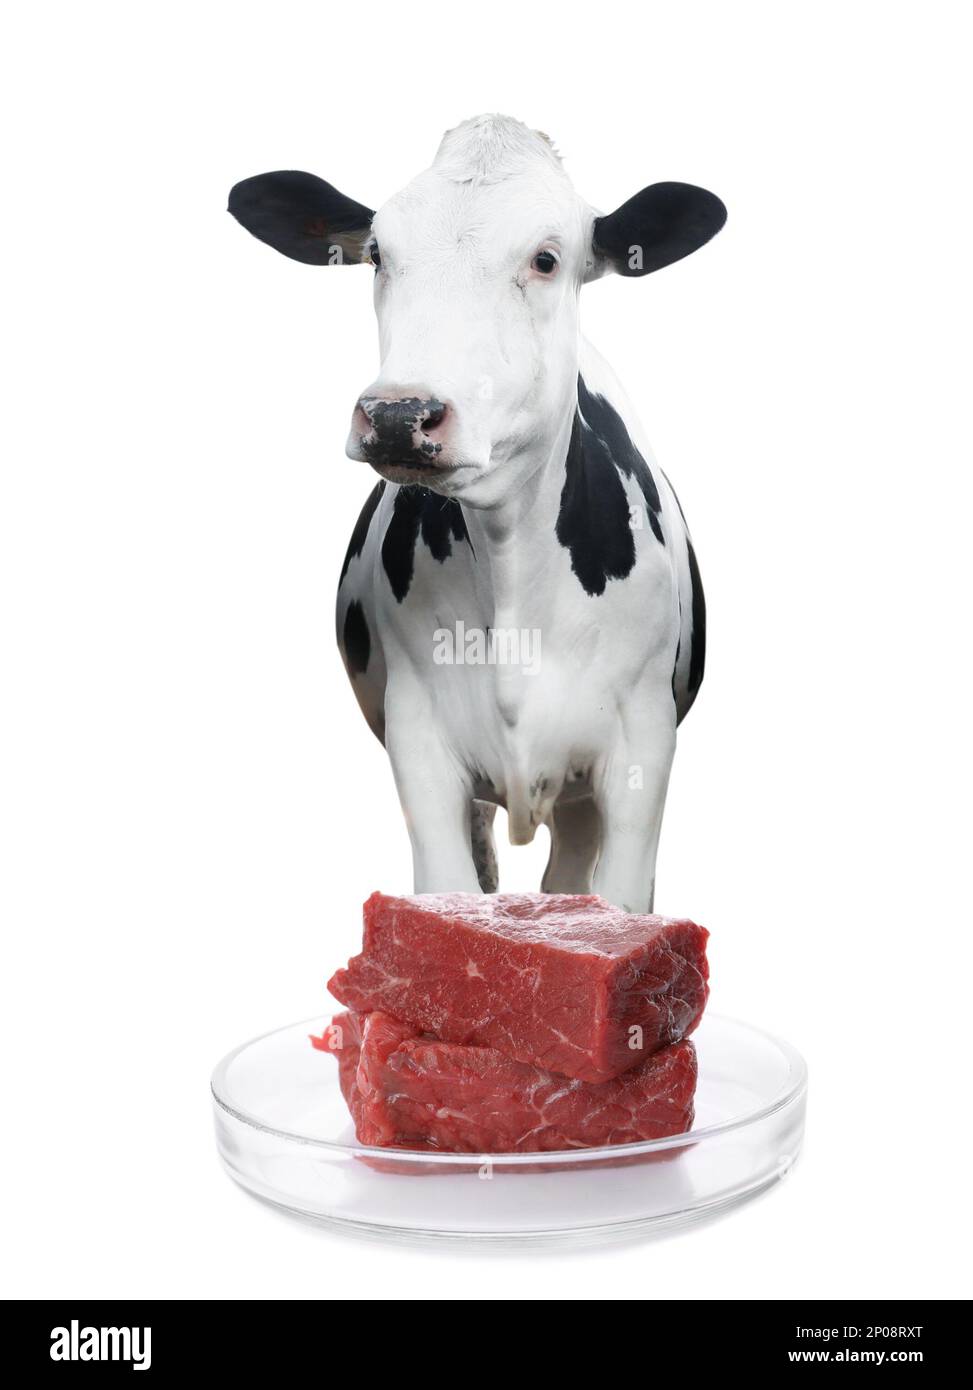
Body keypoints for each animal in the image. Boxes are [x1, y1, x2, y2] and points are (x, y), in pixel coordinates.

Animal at [229, 115, 725, 912]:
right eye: (378, 252)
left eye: (547, 258)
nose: (397, 416)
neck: (509, 565)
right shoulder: (420, 743)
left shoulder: (641, 749)